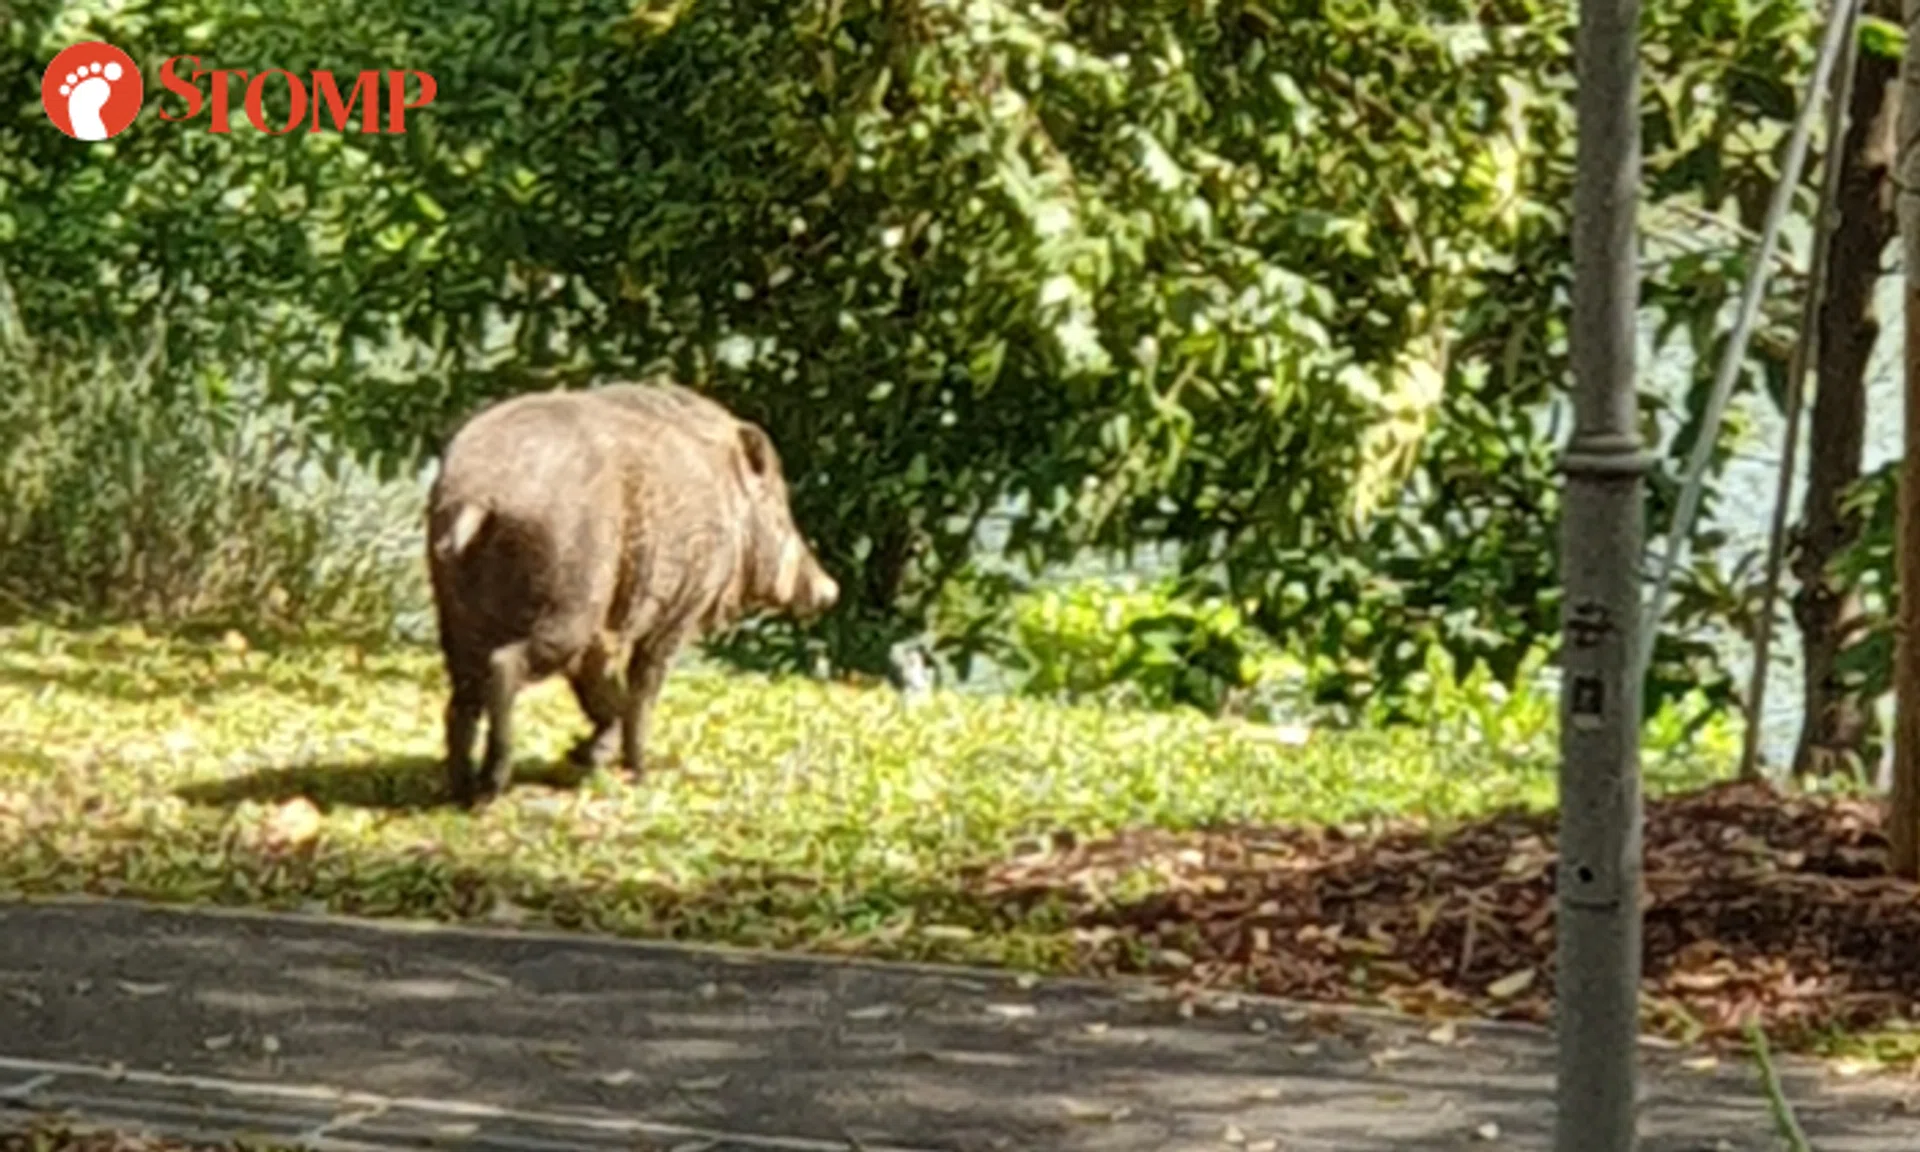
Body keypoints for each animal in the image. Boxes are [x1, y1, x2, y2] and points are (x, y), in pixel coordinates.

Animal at [424, 382, 840, 808]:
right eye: (779, 511)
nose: (830, 590)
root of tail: (477, 495)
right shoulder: (680, 611)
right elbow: (643, 686)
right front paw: (639, 773)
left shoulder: (605, 634)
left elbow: (604, 690)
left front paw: (584, 754)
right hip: (568, 605)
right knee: (504, 665)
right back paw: (490, 790)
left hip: (456, 613)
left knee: (461, 697)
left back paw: (461, 790)